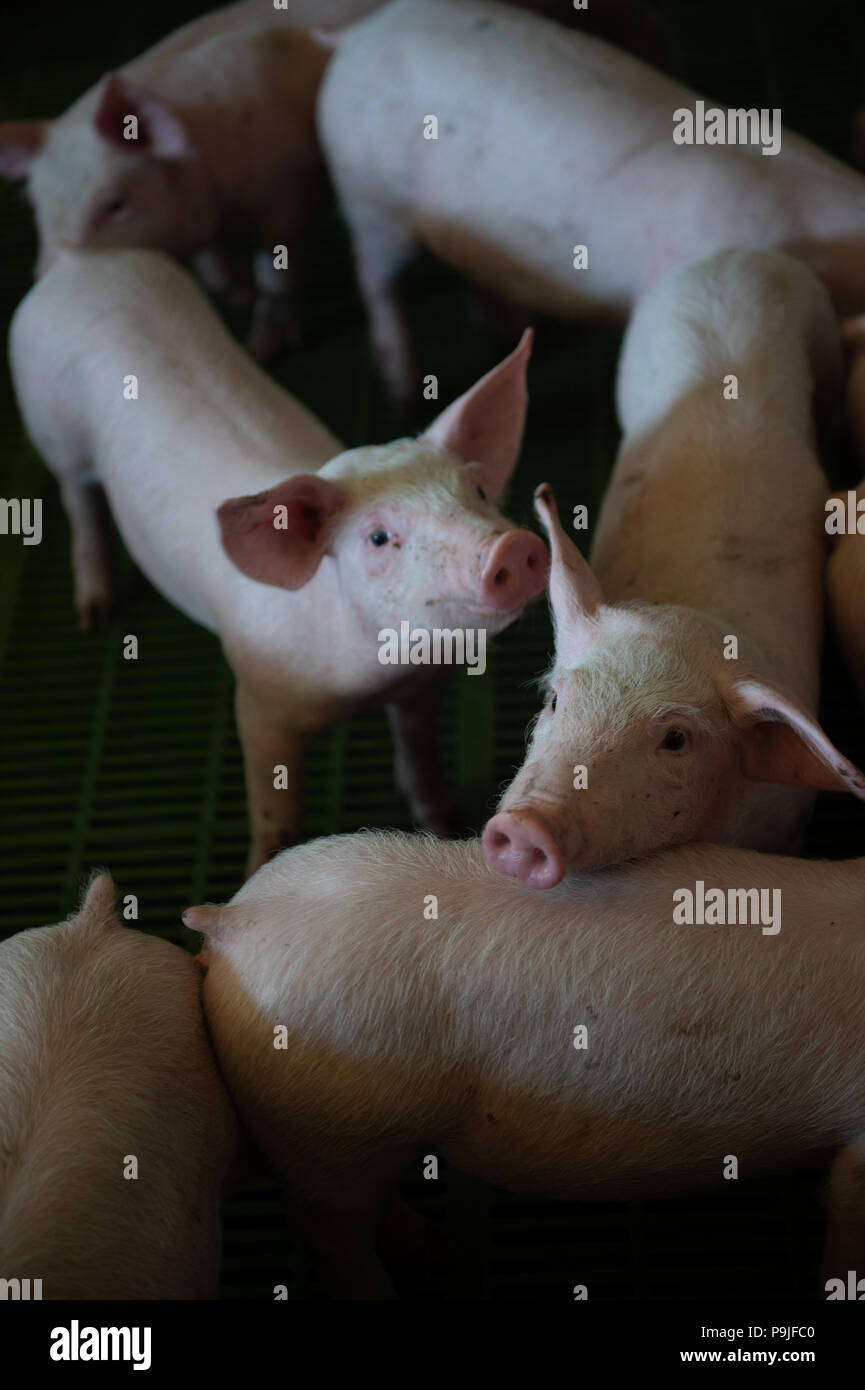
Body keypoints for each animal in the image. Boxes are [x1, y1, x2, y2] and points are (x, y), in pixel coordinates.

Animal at [9, 247, 548, 876]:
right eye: (379, 537)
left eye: (479, 491)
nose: (514, 547)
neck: (368, 677)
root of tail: (82, 258)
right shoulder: (261, 706)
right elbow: (276, 810)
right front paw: (257, 874)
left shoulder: (422, 686)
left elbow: (417, 749)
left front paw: (440, 822)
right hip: (55, 435)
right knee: (81, 501)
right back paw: (95, 613)